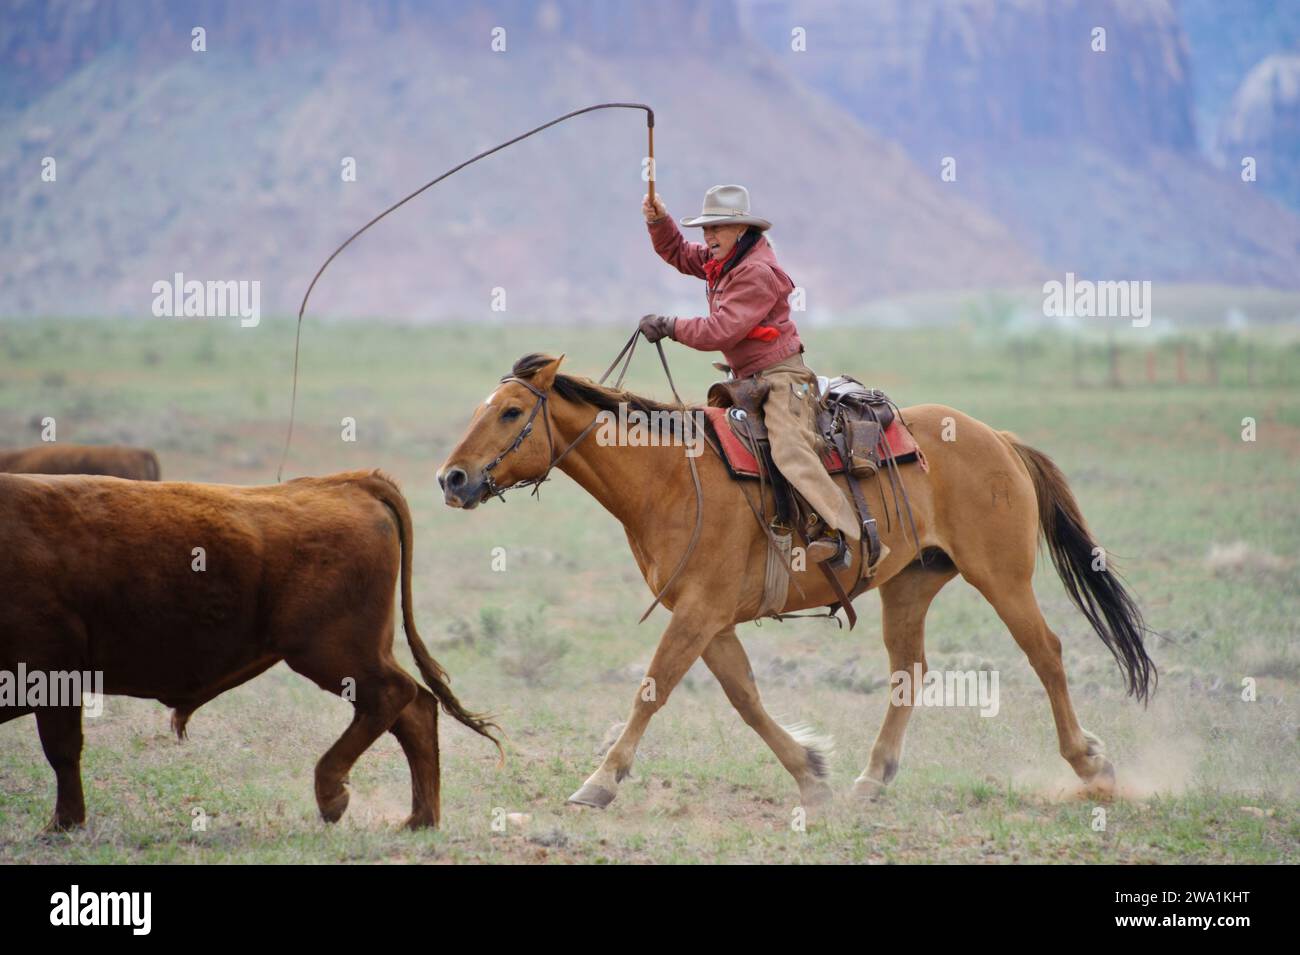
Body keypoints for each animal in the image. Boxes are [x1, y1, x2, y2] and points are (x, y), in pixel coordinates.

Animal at [0, 468, 499, 832]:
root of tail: (345, 481)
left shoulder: (53, 676)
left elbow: (62, 750)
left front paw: (62, 824)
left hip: (332, 655)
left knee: (395, 698)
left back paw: (333, 796)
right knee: (415, 709)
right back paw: (419, 819)